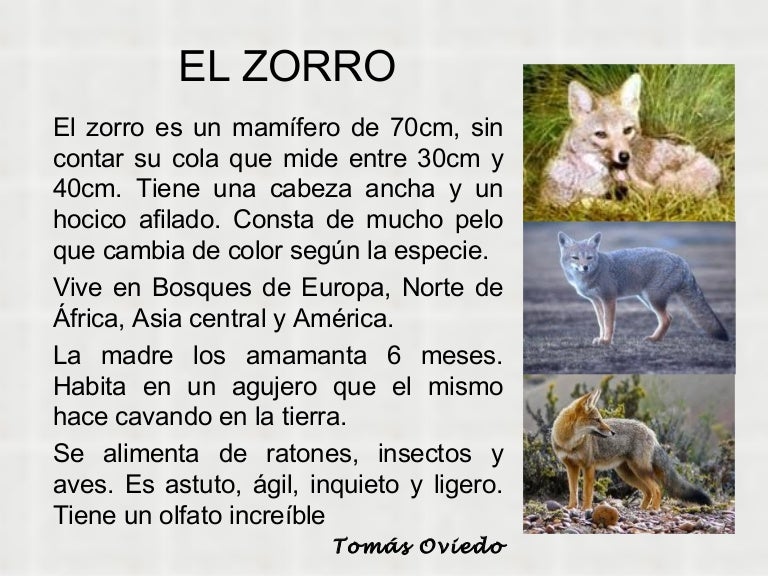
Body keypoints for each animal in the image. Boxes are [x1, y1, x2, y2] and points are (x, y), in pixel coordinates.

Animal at [551, 388, 712, 510]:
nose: (613, 432)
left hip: (638, 470)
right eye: (597, 420)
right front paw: (571, 507)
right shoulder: (571, 466)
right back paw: (643, 509)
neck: (569, 443)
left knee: (657, 489)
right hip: (628, 474)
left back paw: (653, 509)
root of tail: (650, 431)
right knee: (648, 491)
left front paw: (586, 509)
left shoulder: (588, 466)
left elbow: (587, 492)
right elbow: (573, 491)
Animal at [558, 231, 729, 345]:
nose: (585, 267)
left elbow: (608, 322)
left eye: (589, 257)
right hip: (646, 300)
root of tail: (682, 261)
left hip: (653, 299)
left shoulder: (609, 298)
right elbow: (601, 322)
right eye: (575, 258)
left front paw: (606, 341)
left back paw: (654, 339)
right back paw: (657, 339)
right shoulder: (596, 301)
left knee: (666, 319)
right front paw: (601, 338)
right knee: (669, 317)